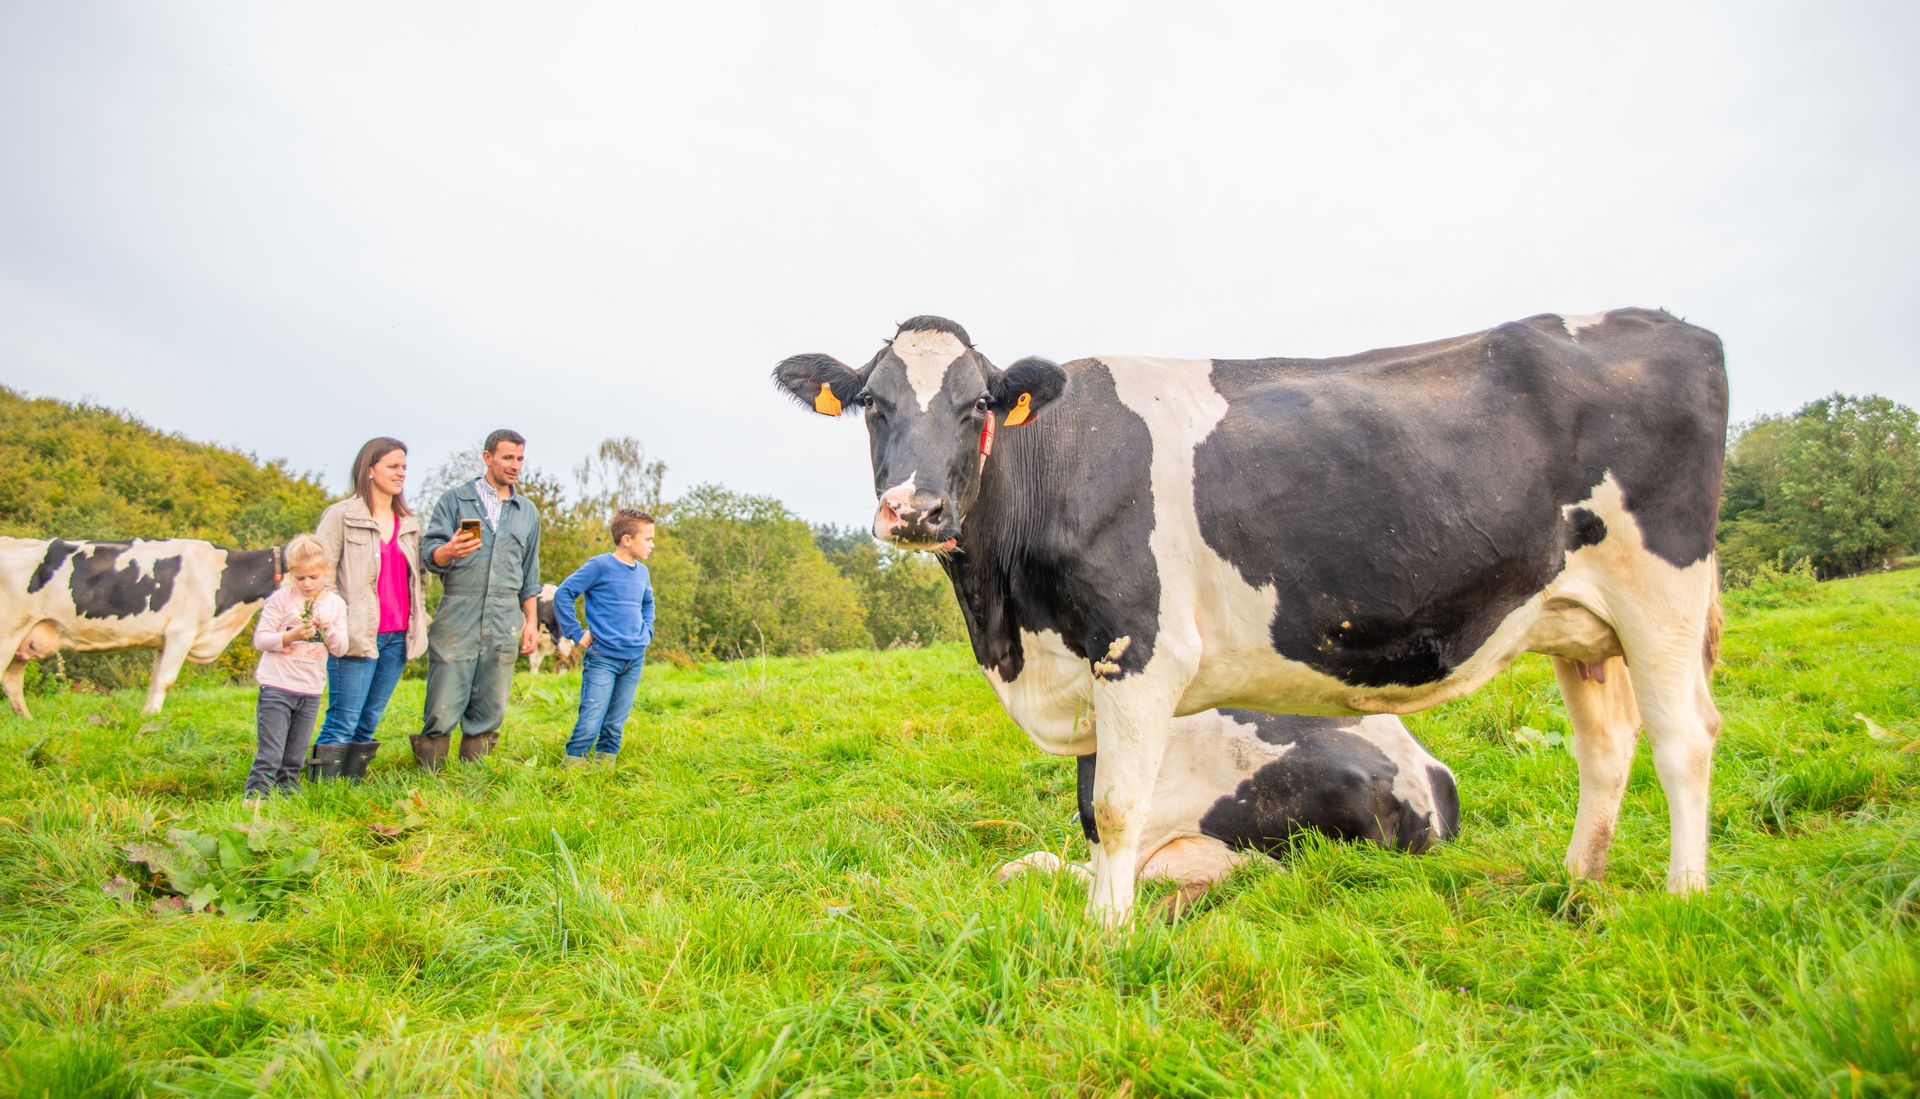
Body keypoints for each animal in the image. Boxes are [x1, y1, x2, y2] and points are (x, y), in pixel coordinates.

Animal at [3, 537, 286, 717]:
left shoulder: (165, 640)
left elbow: (155, 679)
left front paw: (147, 715)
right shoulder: (181, 632)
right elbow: (166, 680)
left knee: (12, 680)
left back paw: (26, 719)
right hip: (8, 630)